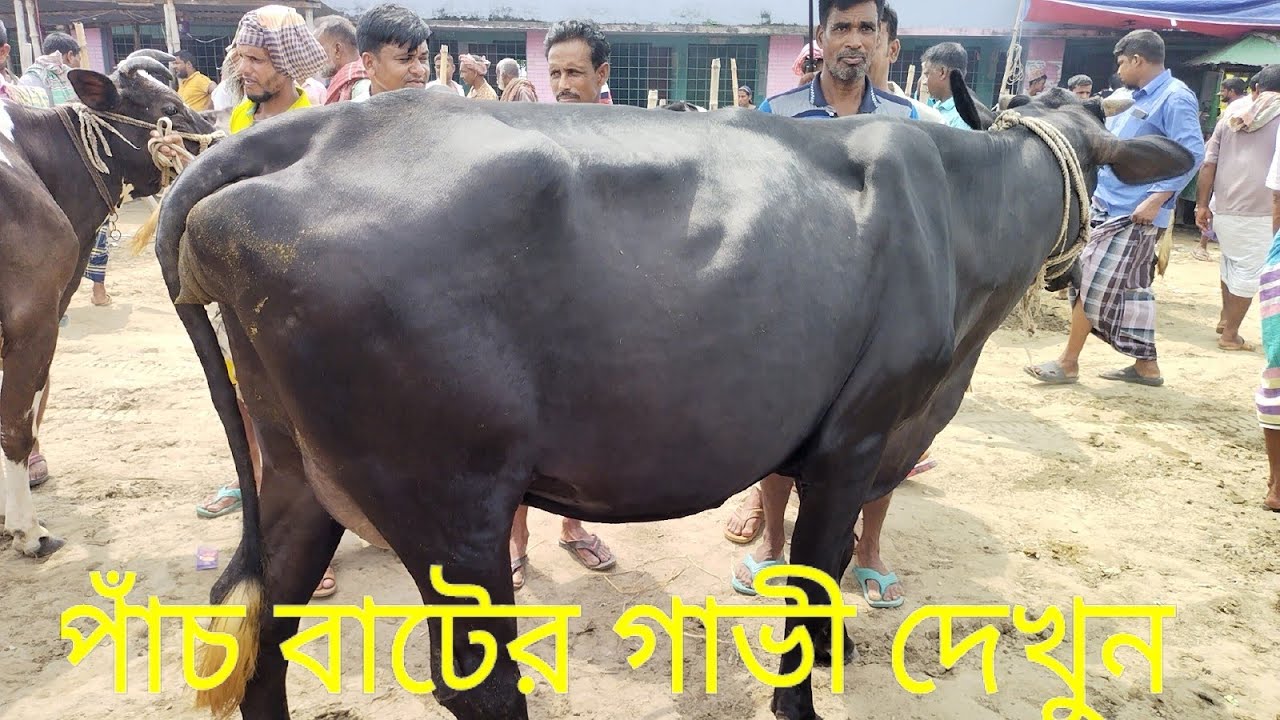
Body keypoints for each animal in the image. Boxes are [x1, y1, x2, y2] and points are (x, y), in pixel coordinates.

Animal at [152, 86, 1194, 720]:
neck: (967, 210)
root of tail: (308, 132)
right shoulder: (858, 439)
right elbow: (811, 597)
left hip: (293, 465)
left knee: (258, 625)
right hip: (443, 497)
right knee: (476, 684)